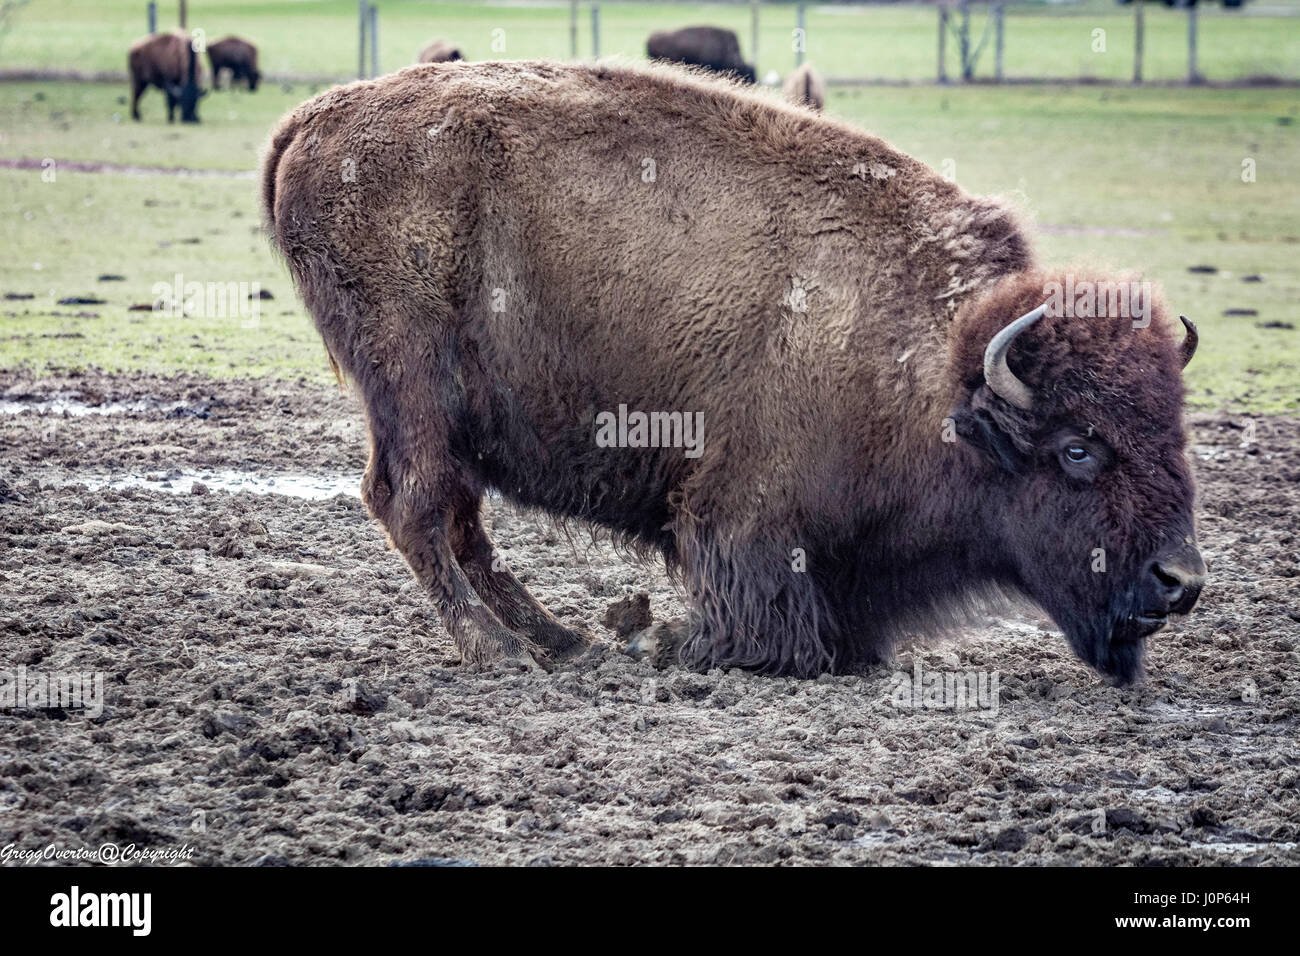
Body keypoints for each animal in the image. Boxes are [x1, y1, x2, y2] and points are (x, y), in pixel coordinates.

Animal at [263, 61, 1205, 684]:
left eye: (1176, 434)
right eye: (1077, 449)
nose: (1181, 581)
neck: (932, 369)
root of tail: (311, 121)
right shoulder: (743, 517)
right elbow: (767, 617)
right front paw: (685, 644)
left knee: (458, 520)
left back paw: (564, 641)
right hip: (409, 386)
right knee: (413, 503)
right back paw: (504, 654)